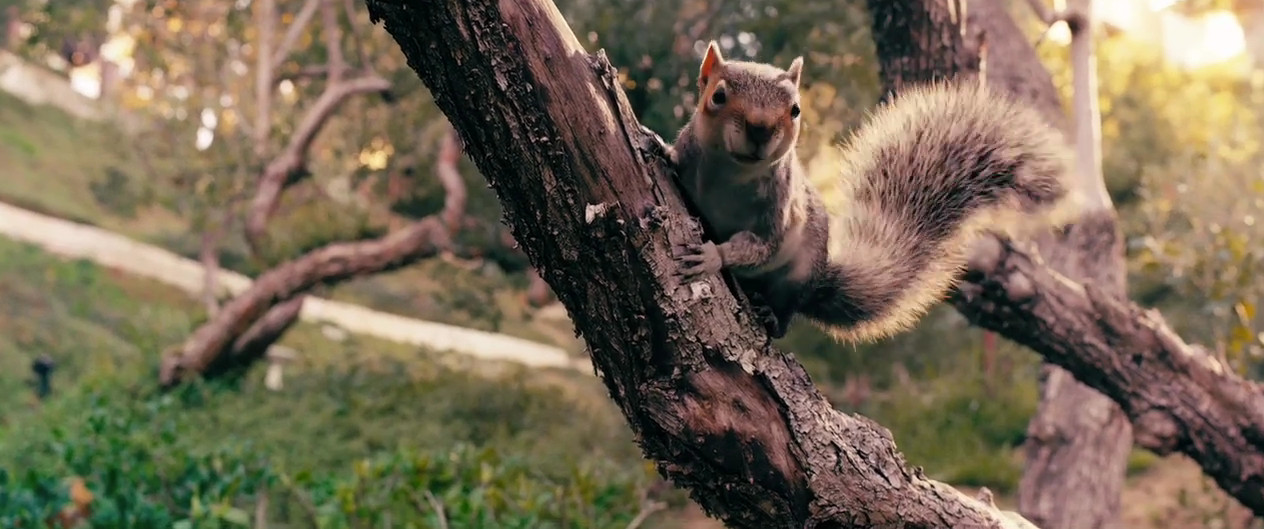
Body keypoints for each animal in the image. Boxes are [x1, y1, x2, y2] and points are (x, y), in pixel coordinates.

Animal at [664, 41, 1070, 343]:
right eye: (718, 96)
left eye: (795, 110)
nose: (760, 129)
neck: (730, 173)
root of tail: (820, 280)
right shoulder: (692, 154)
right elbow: (676, 156)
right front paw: (659, 146)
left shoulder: (781, 210)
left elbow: (761, 246)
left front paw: (712, 256)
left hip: (796, 278)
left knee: (786, 308)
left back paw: (770, 315)